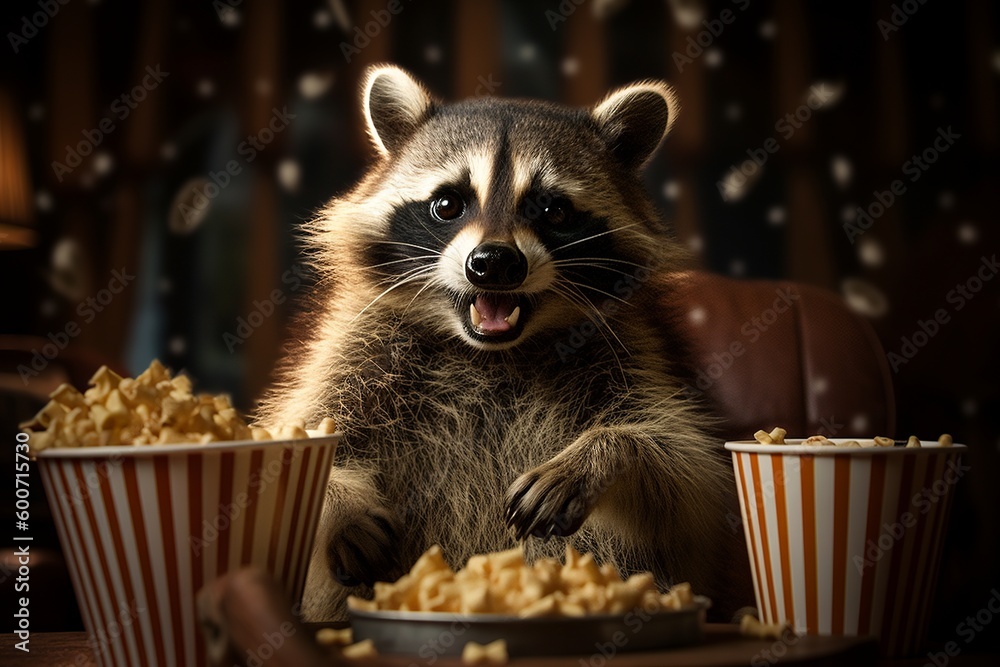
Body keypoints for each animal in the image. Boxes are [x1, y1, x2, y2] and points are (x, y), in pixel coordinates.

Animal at [257, 65, 749, 621]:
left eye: (554, 211)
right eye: (447, 204)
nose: (493, 262)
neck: (490, 353)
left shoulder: (634, 350)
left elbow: (688, 482)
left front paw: (601, 455)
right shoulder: (356, 348)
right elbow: (289, 451)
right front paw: (338, 504)